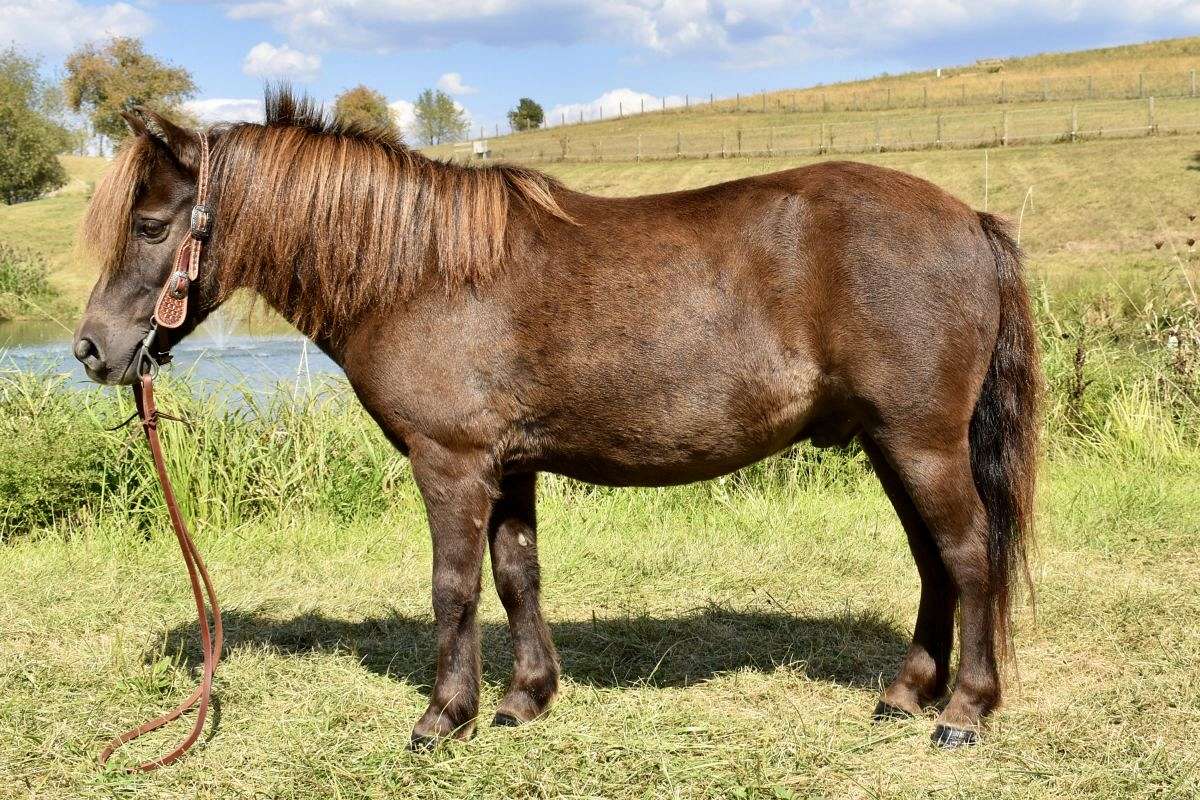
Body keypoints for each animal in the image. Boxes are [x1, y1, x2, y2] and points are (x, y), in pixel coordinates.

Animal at [73, 89, 1040, 750]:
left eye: (152, 224)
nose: (90, 349)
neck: (419, 271)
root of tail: (968, 217)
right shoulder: (507, 467)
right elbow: (517, 577)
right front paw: (523, 699)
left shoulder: (451, 463)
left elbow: (454, 587)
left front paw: (442, 716)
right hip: (890, 444)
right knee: (933, 563)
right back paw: (906, 693)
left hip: (920, 441)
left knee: (967, 555)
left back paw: (962, 711)